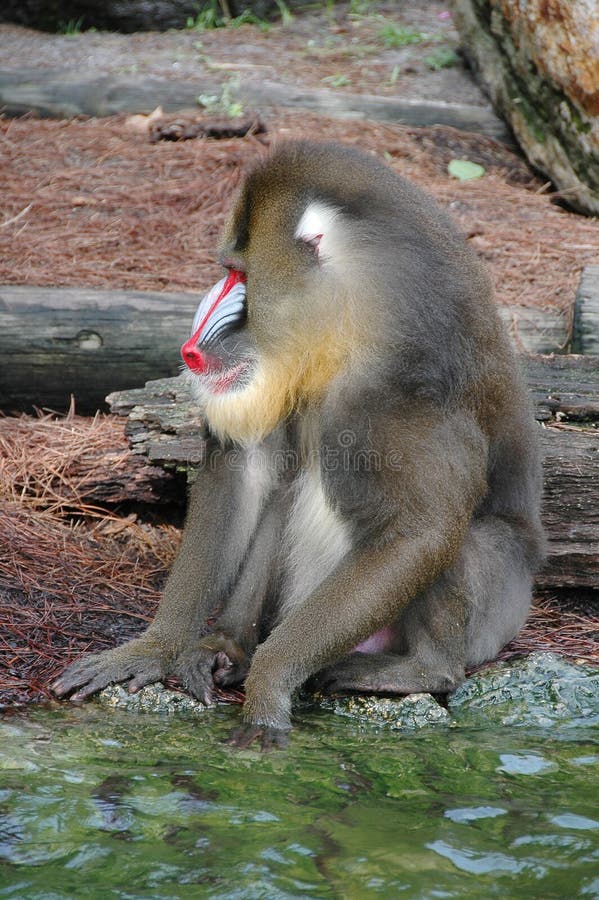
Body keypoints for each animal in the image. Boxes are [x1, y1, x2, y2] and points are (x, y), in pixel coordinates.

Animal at [52, 140, 544, 749]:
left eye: (238, 273)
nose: (193, 348)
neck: (351, 320)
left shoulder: (405, 393)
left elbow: (422, 531)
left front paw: (267, 689)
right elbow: (243, 471)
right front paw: (153, 649)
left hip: (492, 614)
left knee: (469, 542)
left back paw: (419, 669)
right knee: (283, 493)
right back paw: (228, 647)